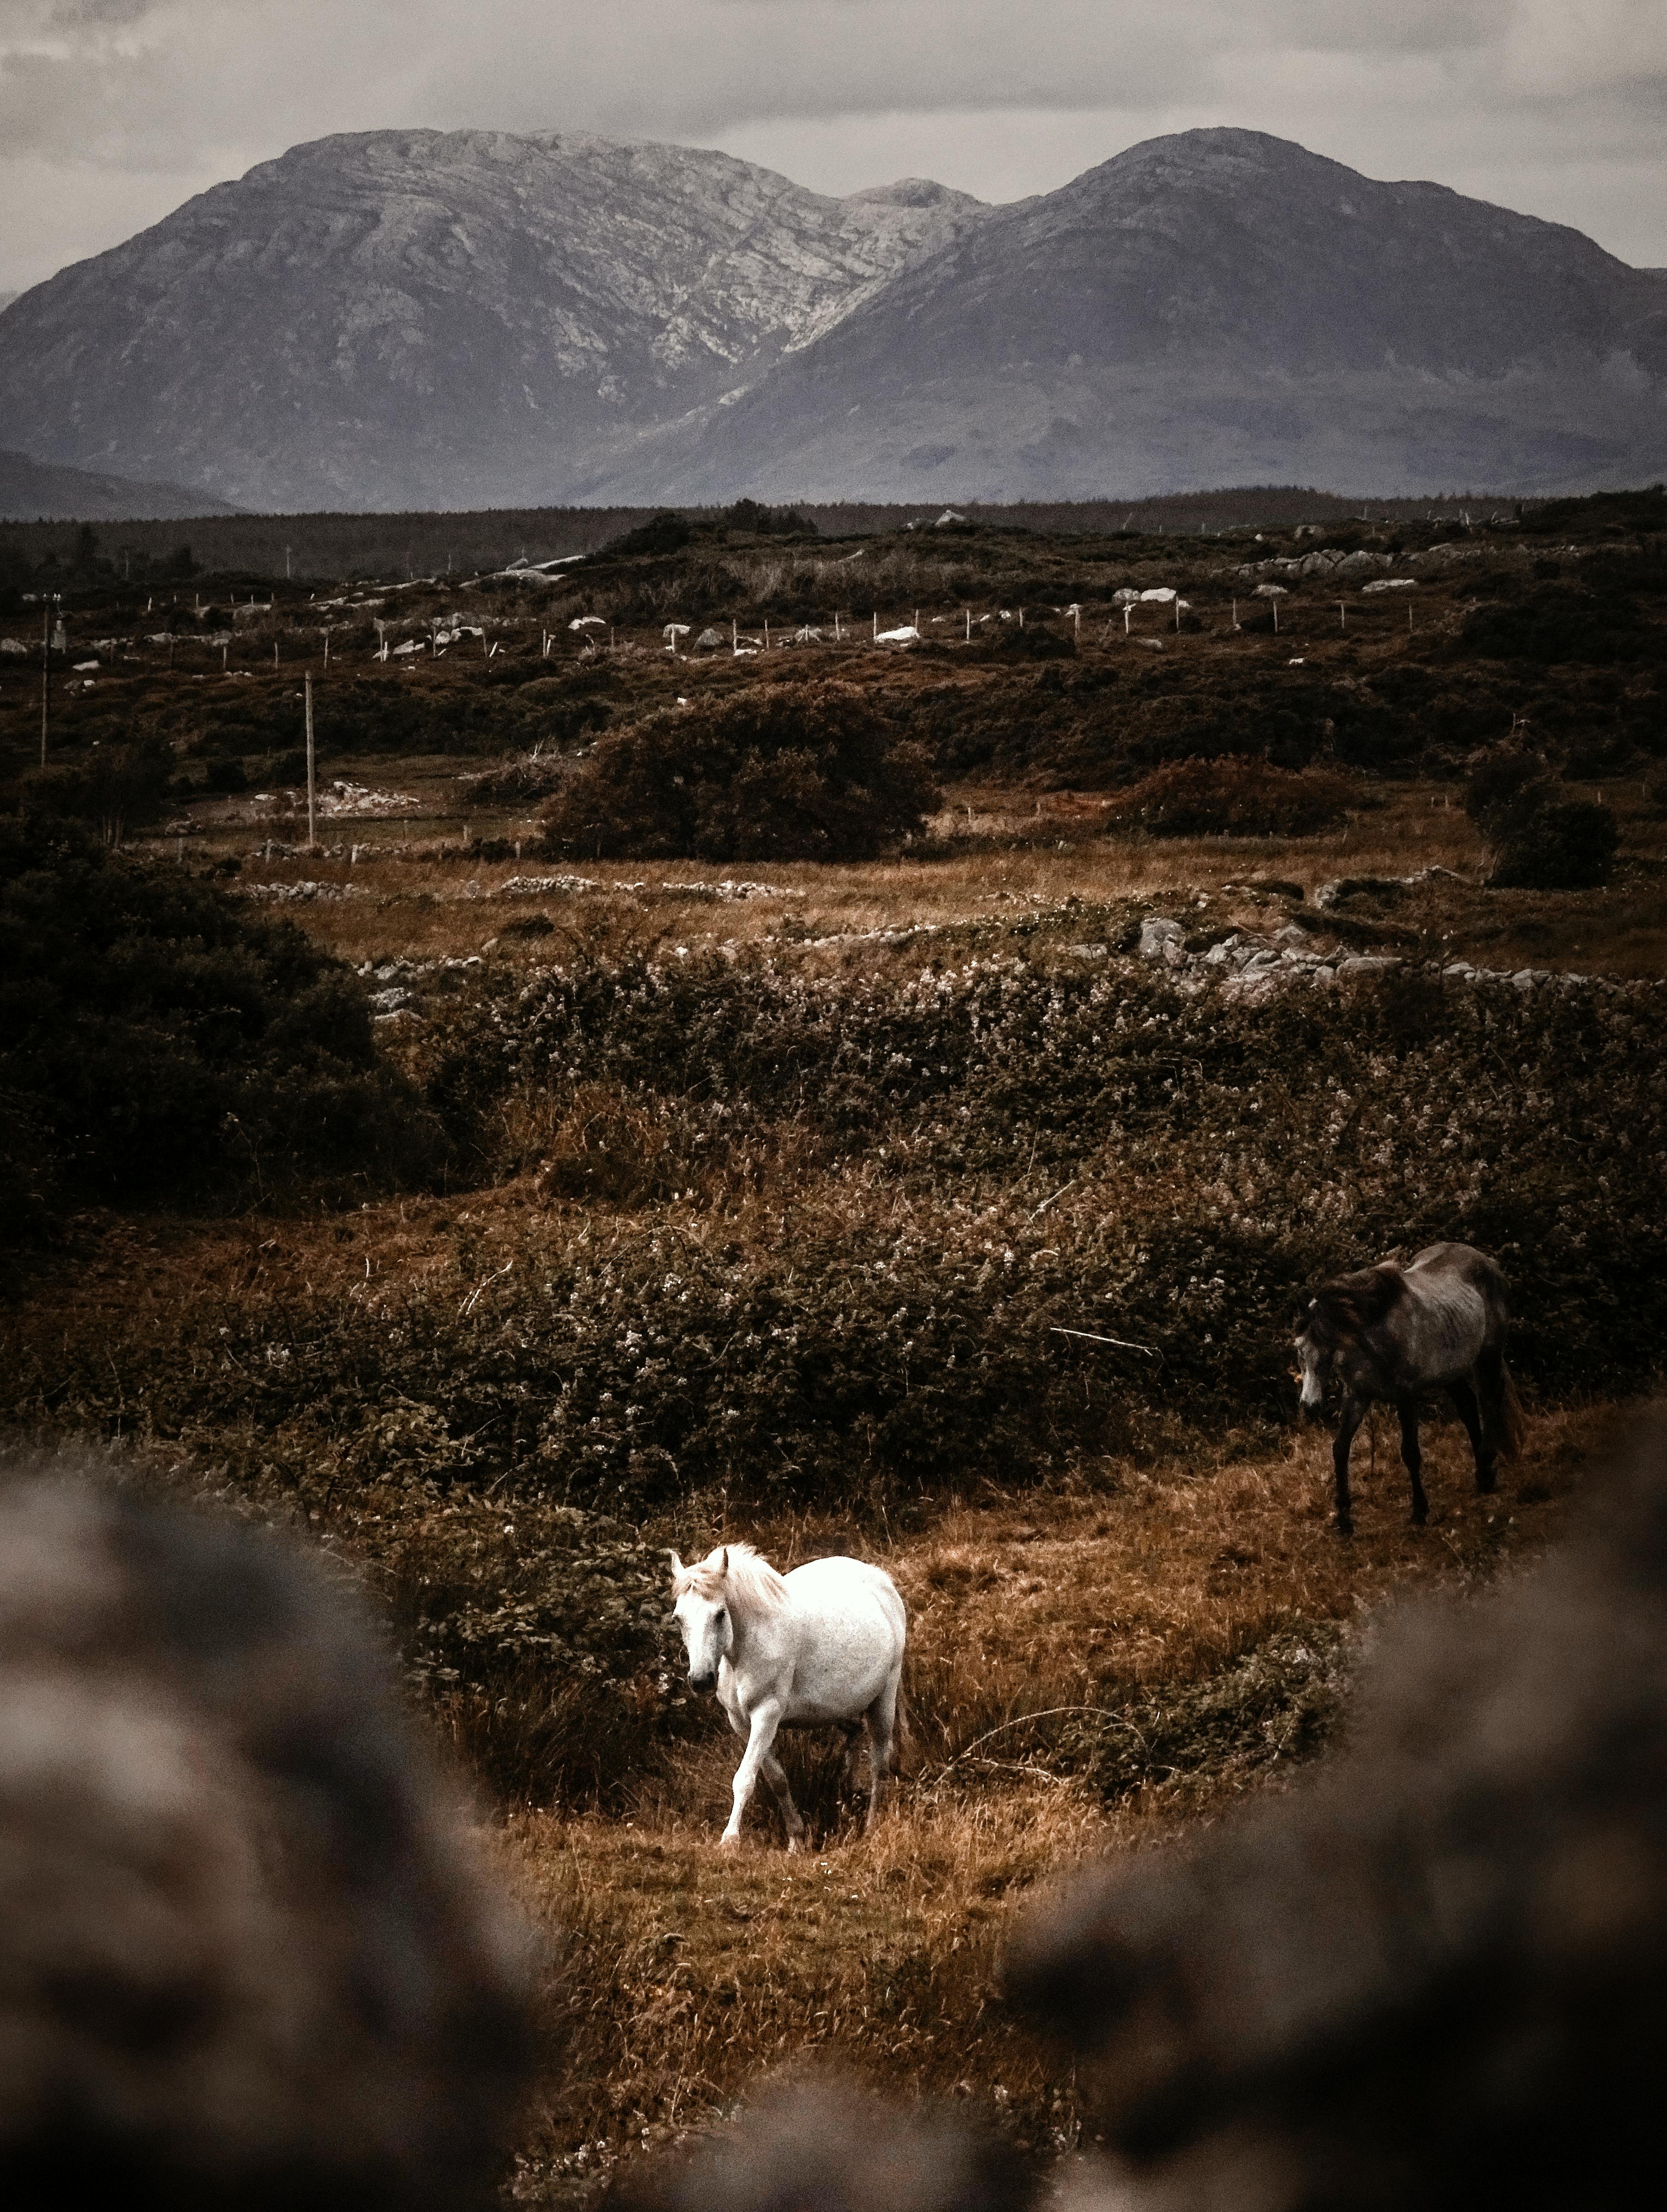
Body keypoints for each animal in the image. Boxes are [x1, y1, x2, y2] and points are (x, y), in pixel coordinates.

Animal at [668, 1542, 907, 1851]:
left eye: (720, 1614)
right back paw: (845, 1791)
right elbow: (777, 1779)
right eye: (678, 1619)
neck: (747, 1648)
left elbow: (744, 1779)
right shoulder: (742, 1723)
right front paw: (796, 1839)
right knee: (854, 1735)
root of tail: (883, 1580)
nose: (700, 1680)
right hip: (842, 1706)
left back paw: (870, 1827)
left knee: (879, 1764)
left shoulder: (766, 1714)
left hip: (884, 1700)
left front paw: (729, 1841)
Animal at [1295, 1240, 1523, 1534]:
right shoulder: (1357, 1396)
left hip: (1489, 1356)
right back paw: (1483, 1473)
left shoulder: (1405, 1396)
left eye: (1326, 1351)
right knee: (1469, 1406)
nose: (1309, 1406)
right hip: (1451, 1370)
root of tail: (1488, 1263)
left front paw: (1419, 1512)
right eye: (1299, 1350)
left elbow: (1411, 1453)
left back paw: (1486, 1468)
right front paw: (1344, 1520)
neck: (1375, 1338)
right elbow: (1340, 1449)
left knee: (1491, 1400)